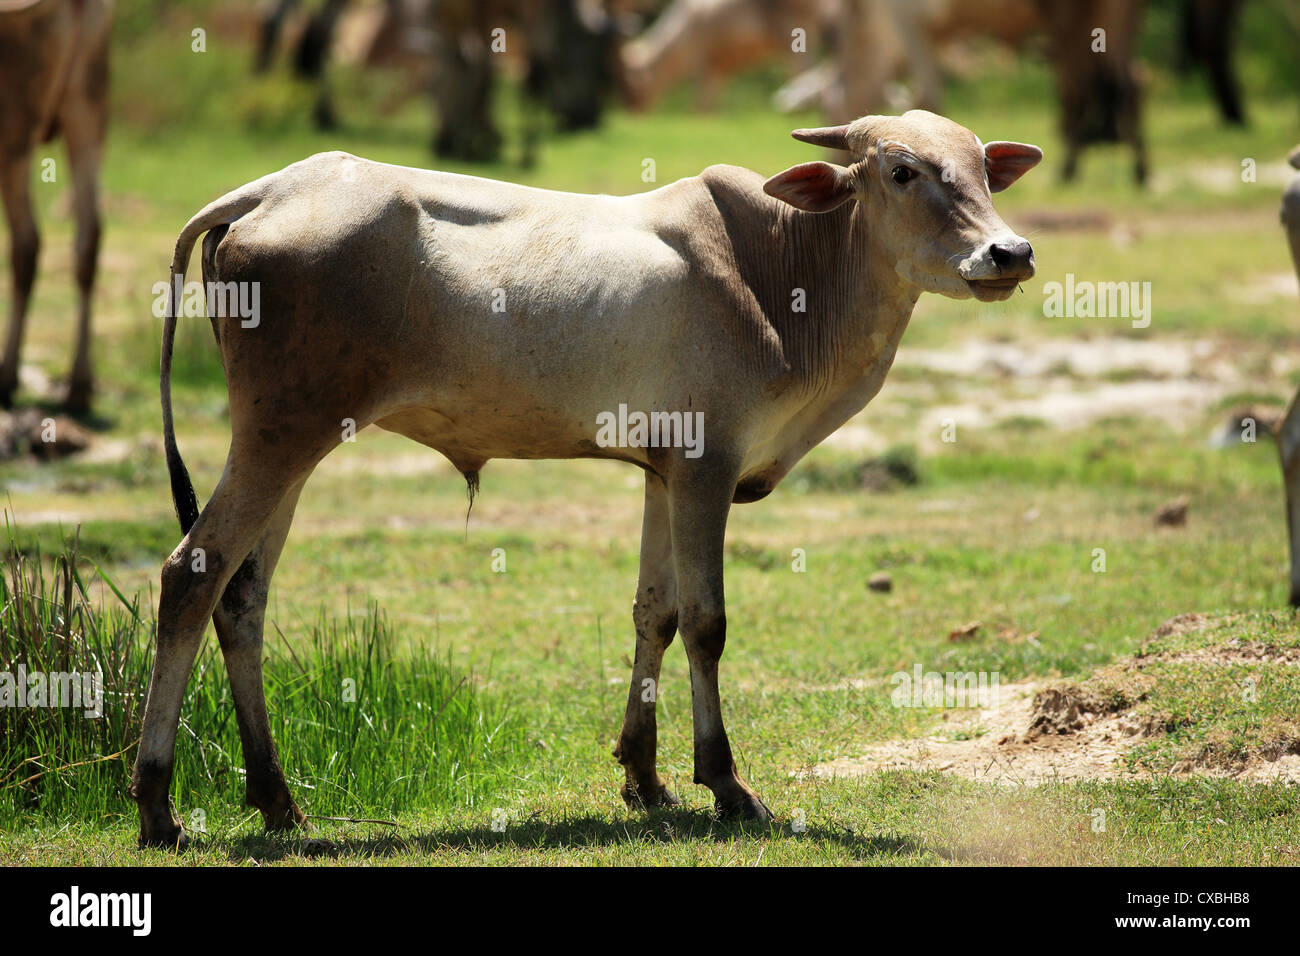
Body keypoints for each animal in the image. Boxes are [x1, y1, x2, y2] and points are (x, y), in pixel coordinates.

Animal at [0, 0, 110, 413]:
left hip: (16, 122)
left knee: (26, 241)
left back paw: (7, 378)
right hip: (89, 104)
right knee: (89, 234)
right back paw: (79, 385)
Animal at [129, 109, 1041, 847]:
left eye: (981, 167)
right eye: (902, 170)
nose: (1010, 251)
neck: (784, 272)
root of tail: (264, 193)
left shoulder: (664, 474)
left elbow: (655, 613)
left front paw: (645, 776)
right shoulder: (707, 470)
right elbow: (706, 624)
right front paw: (727, 783)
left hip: (292, 446)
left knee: (242, 598)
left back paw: (277, 800)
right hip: (280, 436)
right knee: (190, 578)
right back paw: (157, 808)